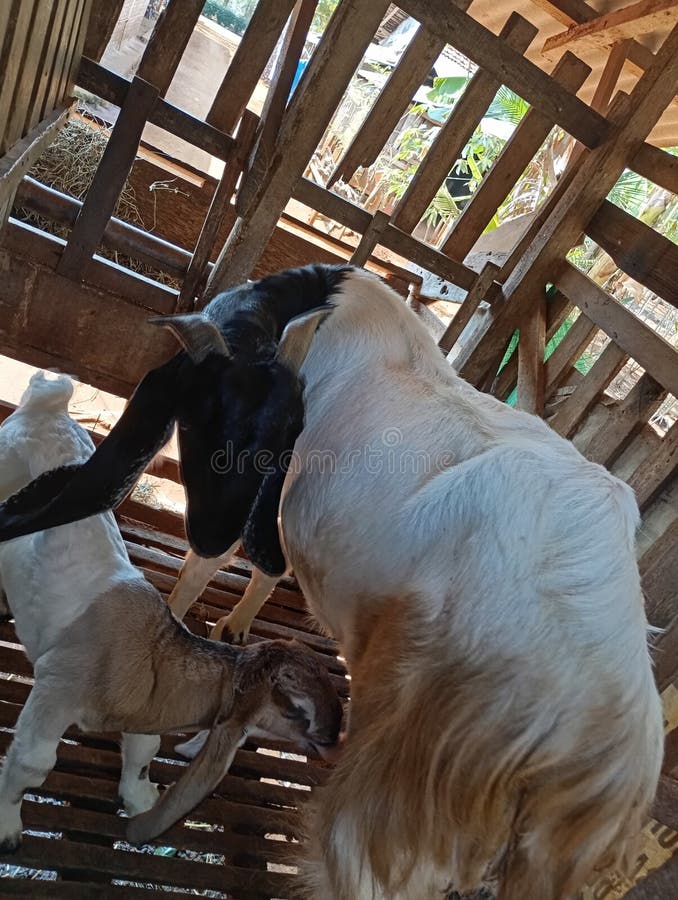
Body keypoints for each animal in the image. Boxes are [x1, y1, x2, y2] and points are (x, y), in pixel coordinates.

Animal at [0, 371, 342, 852]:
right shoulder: (57, 688)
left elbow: (143, 751)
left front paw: (139, 796)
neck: (152, 657)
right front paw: (7, 825)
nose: (335, 743)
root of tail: (50, 402)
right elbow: (33, 763)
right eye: (296, 707)